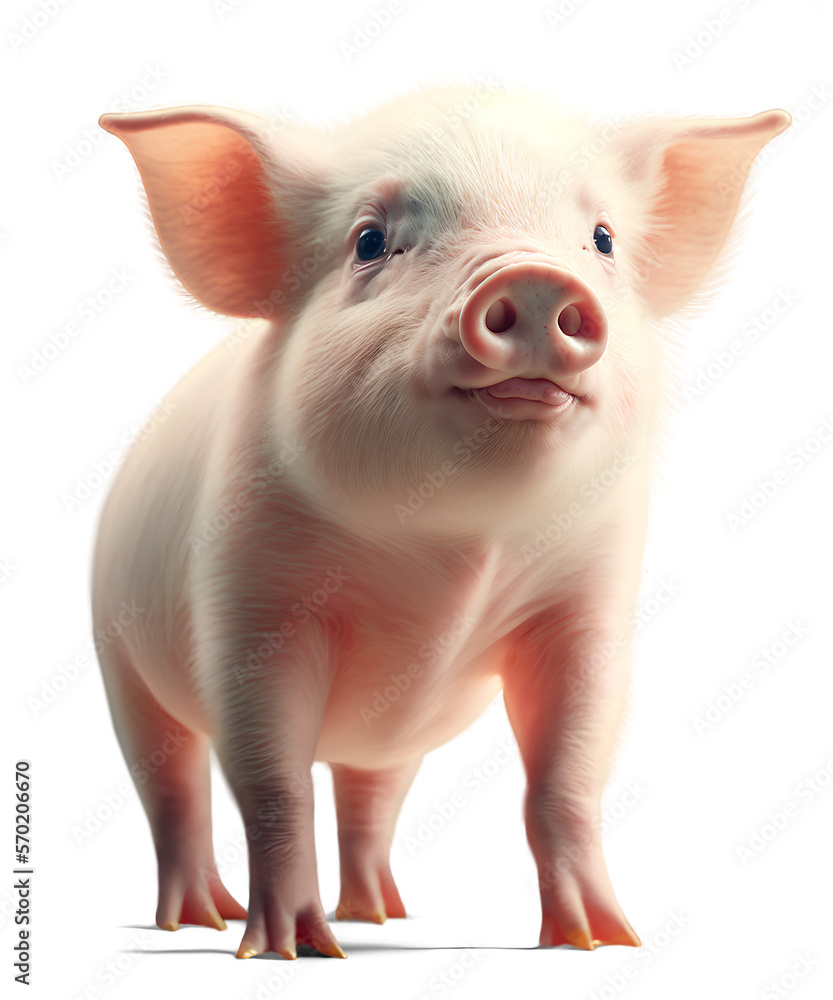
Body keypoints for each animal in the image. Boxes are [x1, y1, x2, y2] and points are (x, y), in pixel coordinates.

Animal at [92, 83, 789, 960]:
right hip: (117, 655)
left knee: (370, 792)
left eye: (601, 239)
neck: (456, 552)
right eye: (369, 240)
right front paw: (291, 951)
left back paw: (381, 916)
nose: (535, 279)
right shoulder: (249, 595)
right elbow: (273, 780)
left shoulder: (587, 600)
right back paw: (205, 921)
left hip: (391, 738)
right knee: (172, 786)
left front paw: (603, 941)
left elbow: (567, 773)